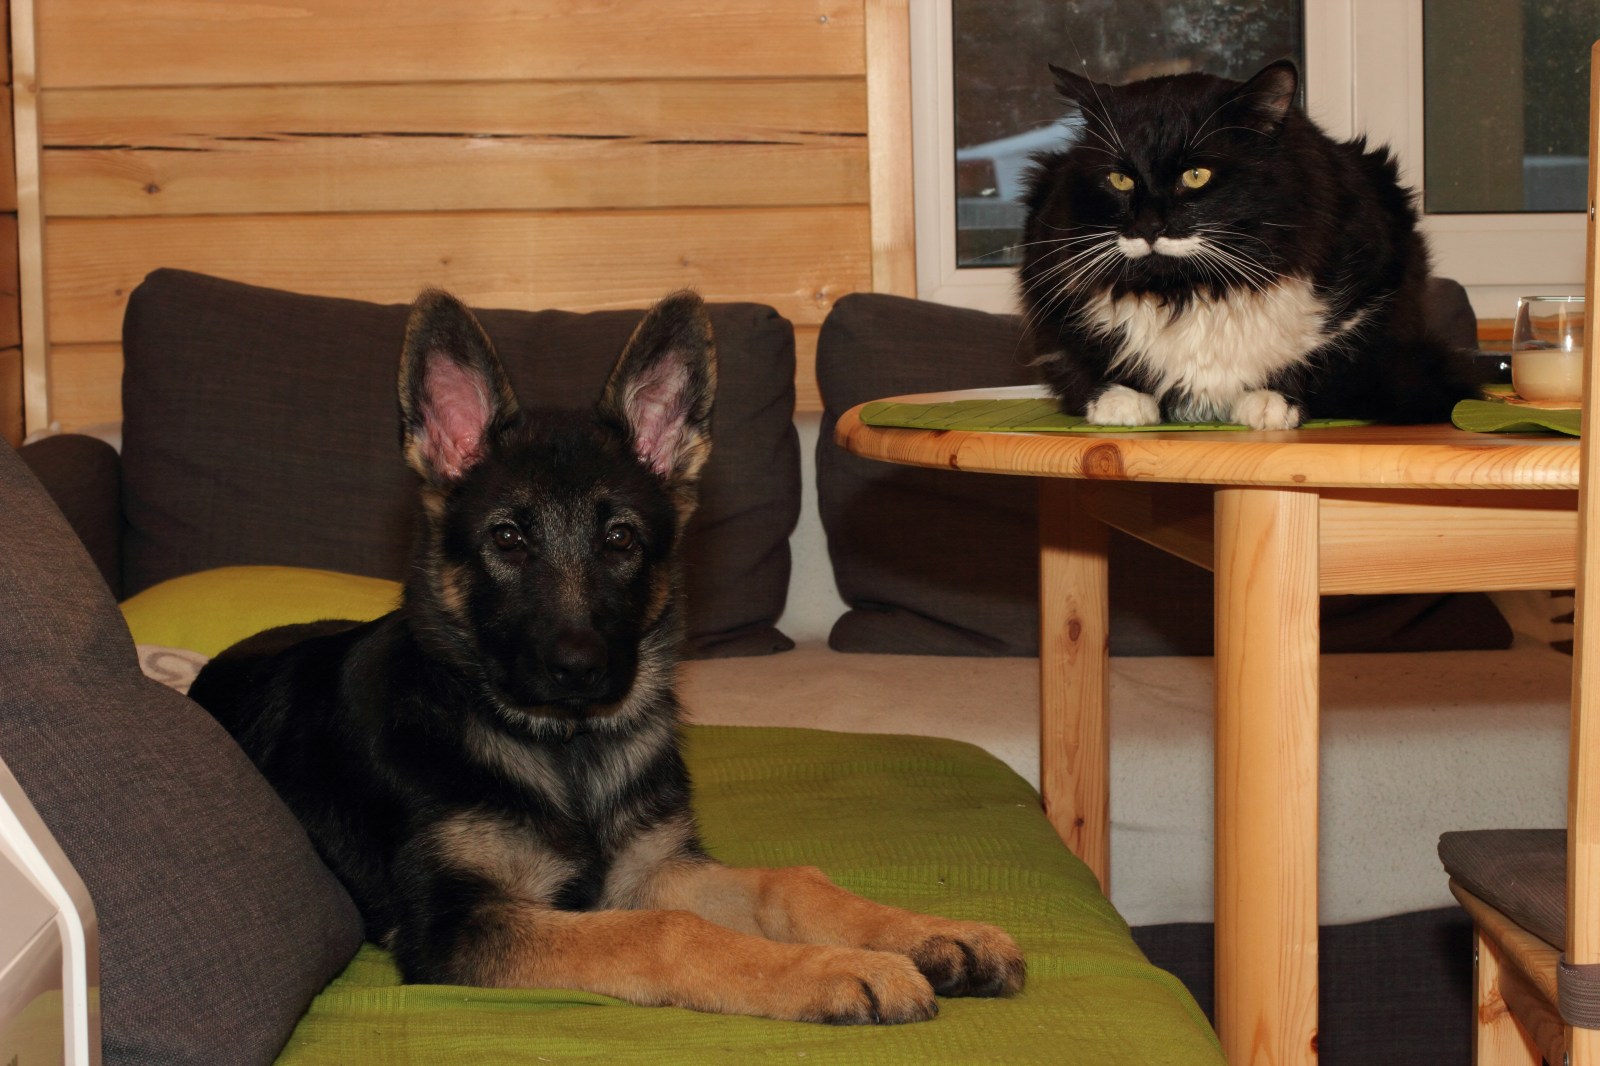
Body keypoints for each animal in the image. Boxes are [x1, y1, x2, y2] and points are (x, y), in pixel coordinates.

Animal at [189, 289, 1026, 1024]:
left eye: (621, 539)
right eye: (506, 539)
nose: (579, 666)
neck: (565, 753)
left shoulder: (655, 870)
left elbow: (790, 884)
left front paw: (926, 933)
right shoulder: (459, 924)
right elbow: (668, 932)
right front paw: (839, 969)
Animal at [1017, 59, 1483, 429]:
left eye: (1196, 176)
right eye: (1119, 179)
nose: (1148, 226)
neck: (1192, 290)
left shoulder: (1373, 296)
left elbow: (1320, 359)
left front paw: (1271, 402)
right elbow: (1084, 360)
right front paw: (1120, 400)